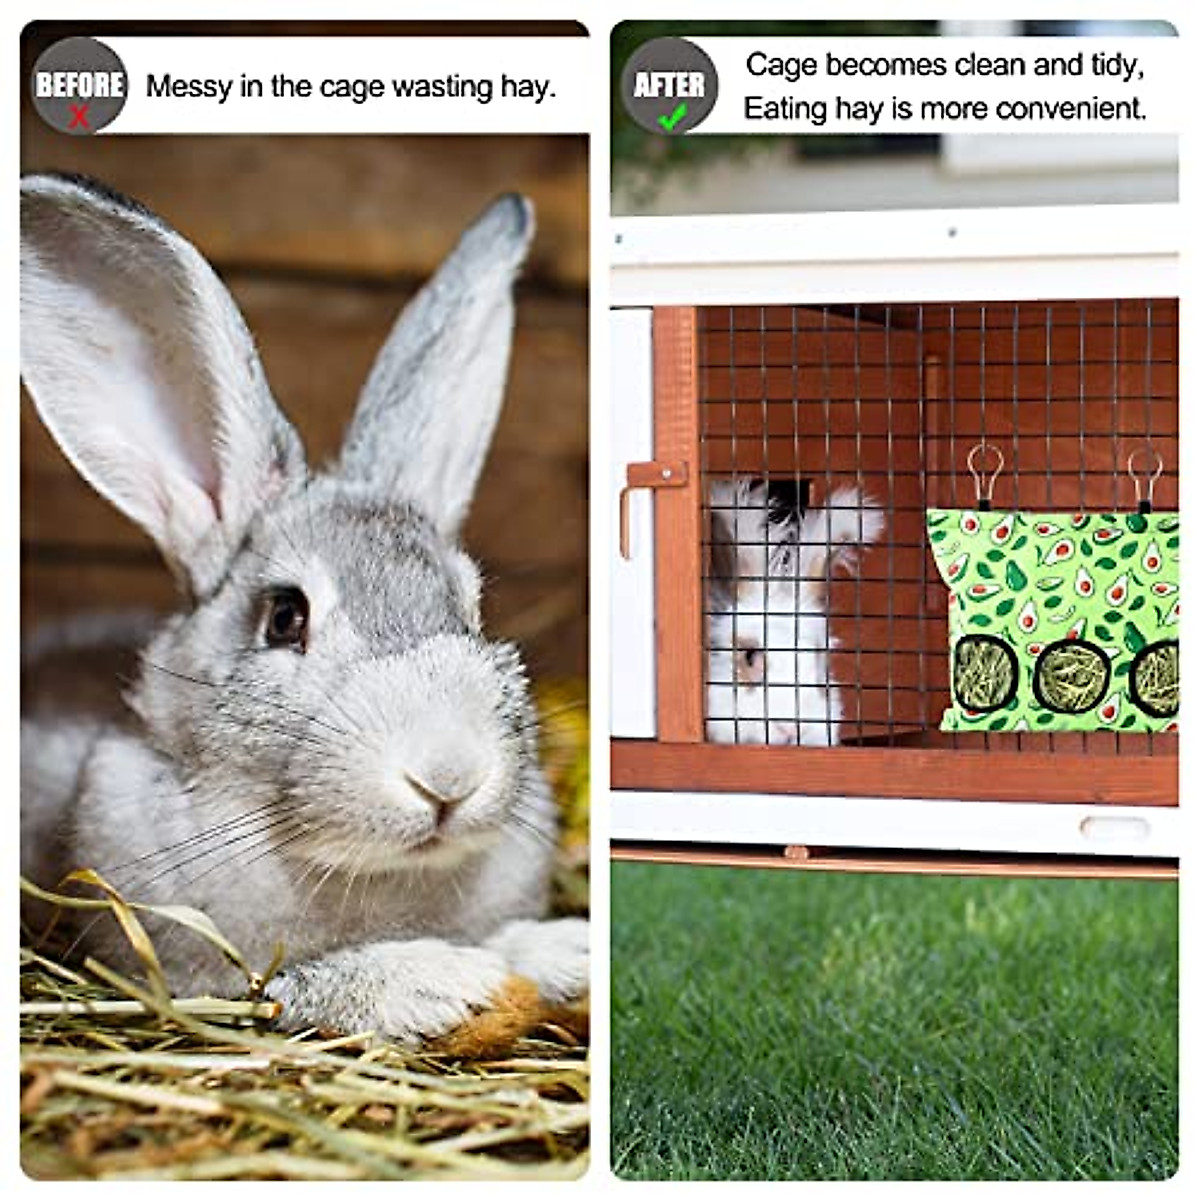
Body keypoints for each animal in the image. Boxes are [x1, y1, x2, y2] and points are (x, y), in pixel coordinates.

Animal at [19, 172, 587, 1046]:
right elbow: (289, 985)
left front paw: (567, 951)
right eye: (285, 616)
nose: (449, 777)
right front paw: (441, 985)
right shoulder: (203, 979)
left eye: (471, 605)